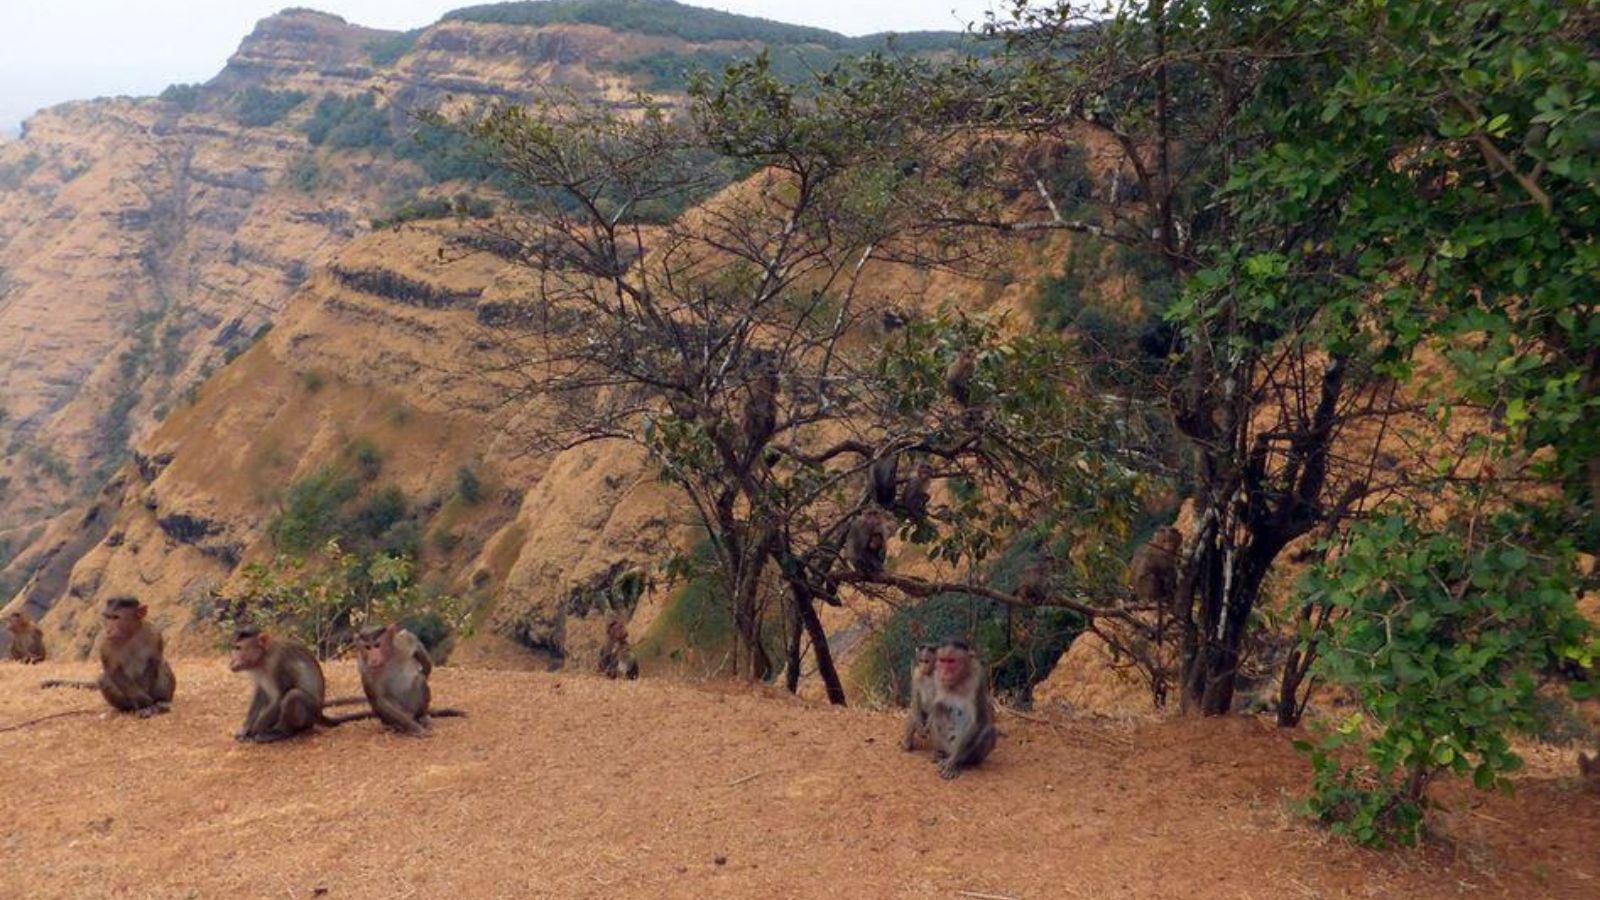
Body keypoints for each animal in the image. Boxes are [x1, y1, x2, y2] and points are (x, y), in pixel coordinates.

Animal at [927, 639, 998, 779]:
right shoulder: (936, 676)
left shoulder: (978, 678)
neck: (960, 678)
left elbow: (976, 721)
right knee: (938, 709)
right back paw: (940, 754)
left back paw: (960, 762)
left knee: (988, 731)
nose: (945, 672)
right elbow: (934, 707)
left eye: (951, 661)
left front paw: (952, 762)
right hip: (946, 745)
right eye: (942, 660)